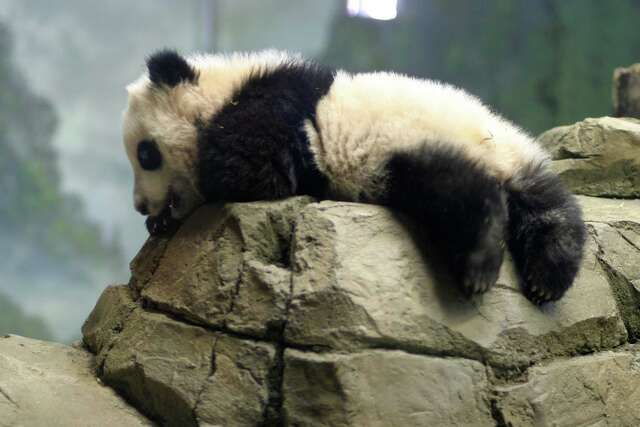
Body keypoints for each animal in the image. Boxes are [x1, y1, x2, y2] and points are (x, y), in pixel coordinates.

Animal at [123, 49, 586, 305]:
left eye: (146, 154)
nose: (140, 206)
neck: (221, 89)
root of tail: (495, 149)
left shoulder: (279, 108)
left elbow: (246, 169)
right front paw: (159, 220)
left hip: (408, 148)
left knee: (461, 192)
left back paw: (479, 262)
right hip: (518, 162)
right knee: (552, 209)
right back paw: (548, 277)